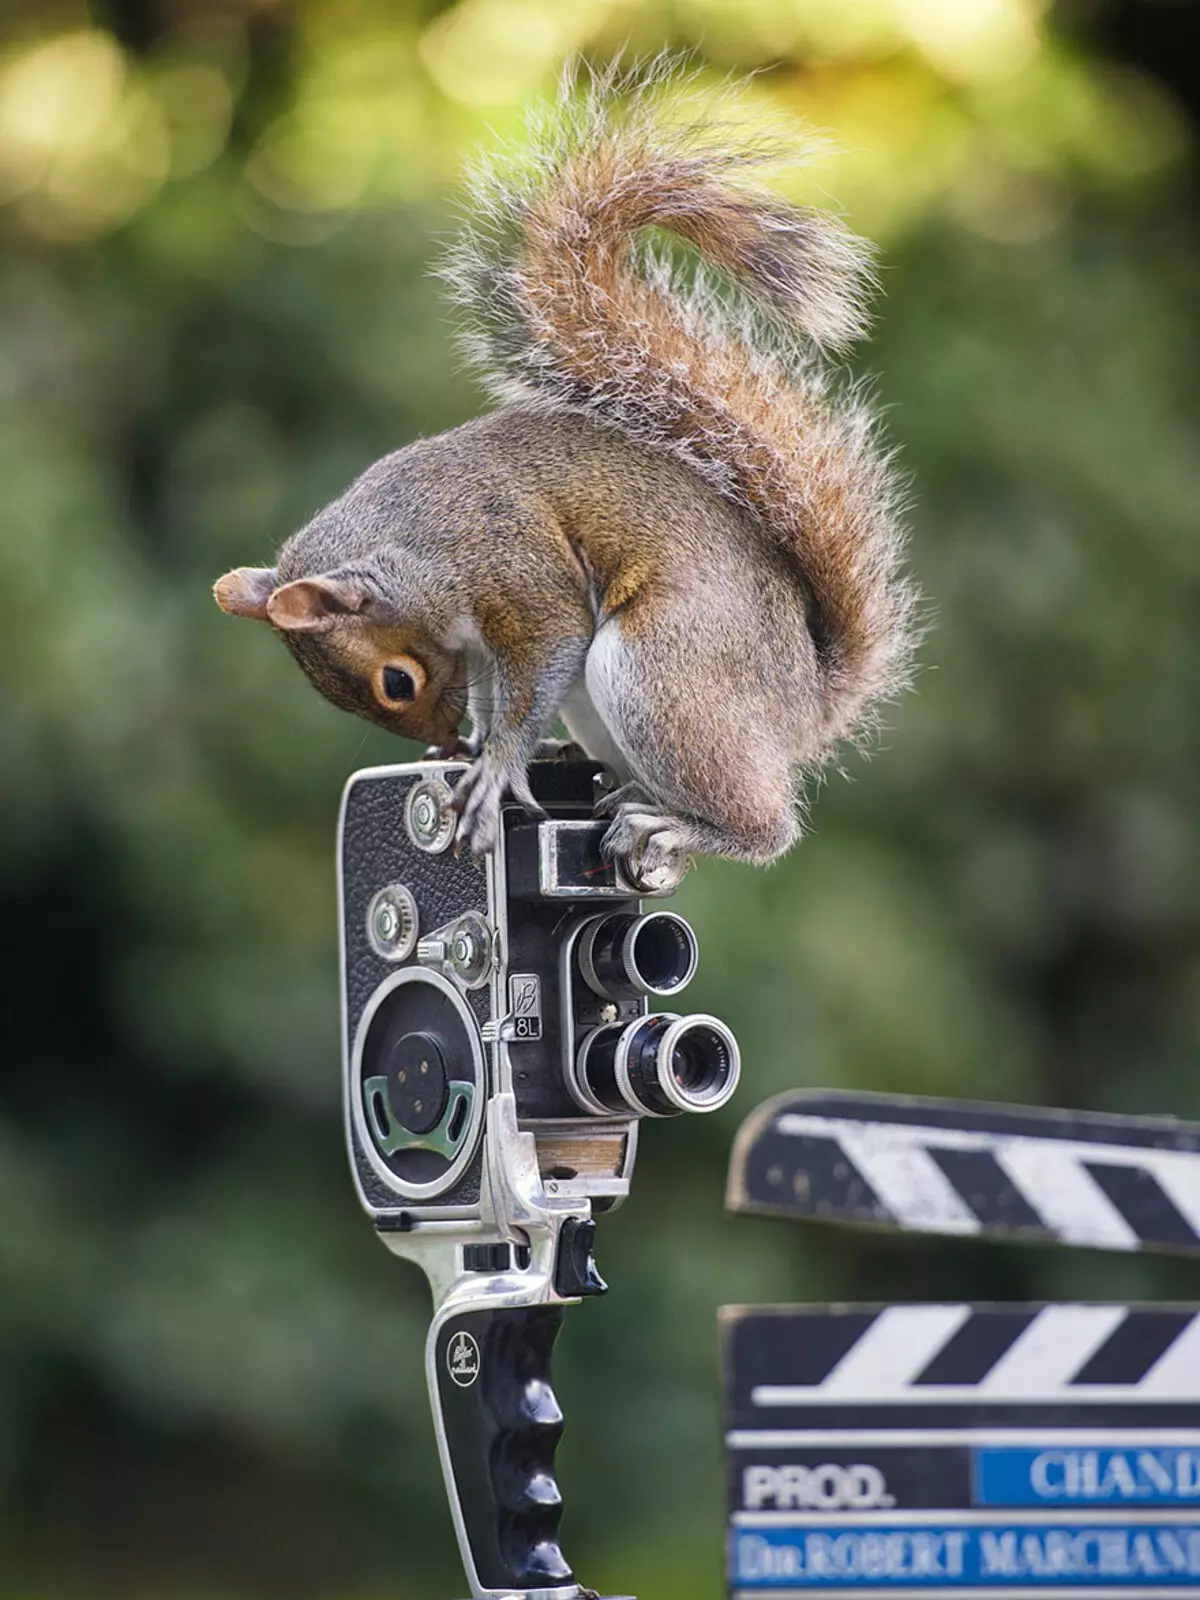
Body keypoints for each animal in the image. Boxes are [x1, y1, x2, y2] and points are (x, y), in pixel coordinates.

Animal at [216, 62, 915, 889]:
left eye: (397, 682)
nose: (443, 742)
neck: (409, 541)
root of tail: (808, 704)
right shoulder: (485, 647)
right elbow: (499, 694)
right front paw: (488, 747)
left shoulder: (512, 564)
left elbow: (548, 645)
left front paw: (494, 763)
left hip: (664, 672)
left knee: (765, 825)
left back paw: (681, 826)